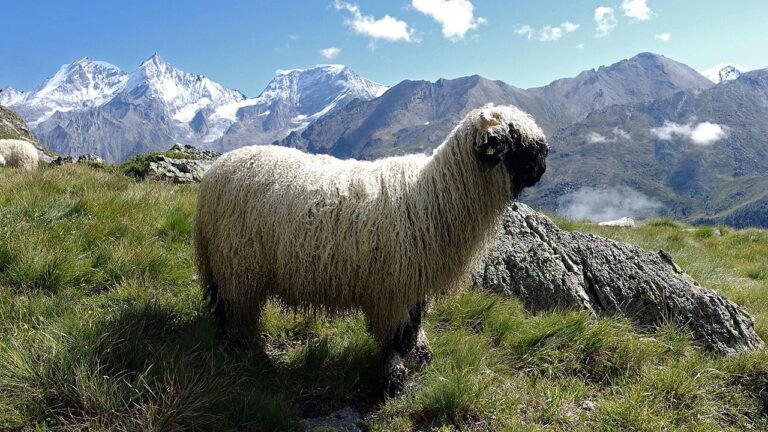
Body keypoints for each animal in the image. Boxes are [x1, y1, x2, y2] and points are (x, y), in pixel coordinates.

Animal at [194, 105, 548, 394]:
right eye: (515, 142)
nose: (542, 168)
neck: (436, 193)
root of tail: (215, 172)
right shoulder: (392, 288)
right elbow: (395, 337)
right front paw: (394, 380)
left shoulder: (412, 284)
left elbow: (414, 324)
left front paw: (421, 354)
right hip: (236, 263)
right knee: (233, 310)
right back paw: (242, 353)